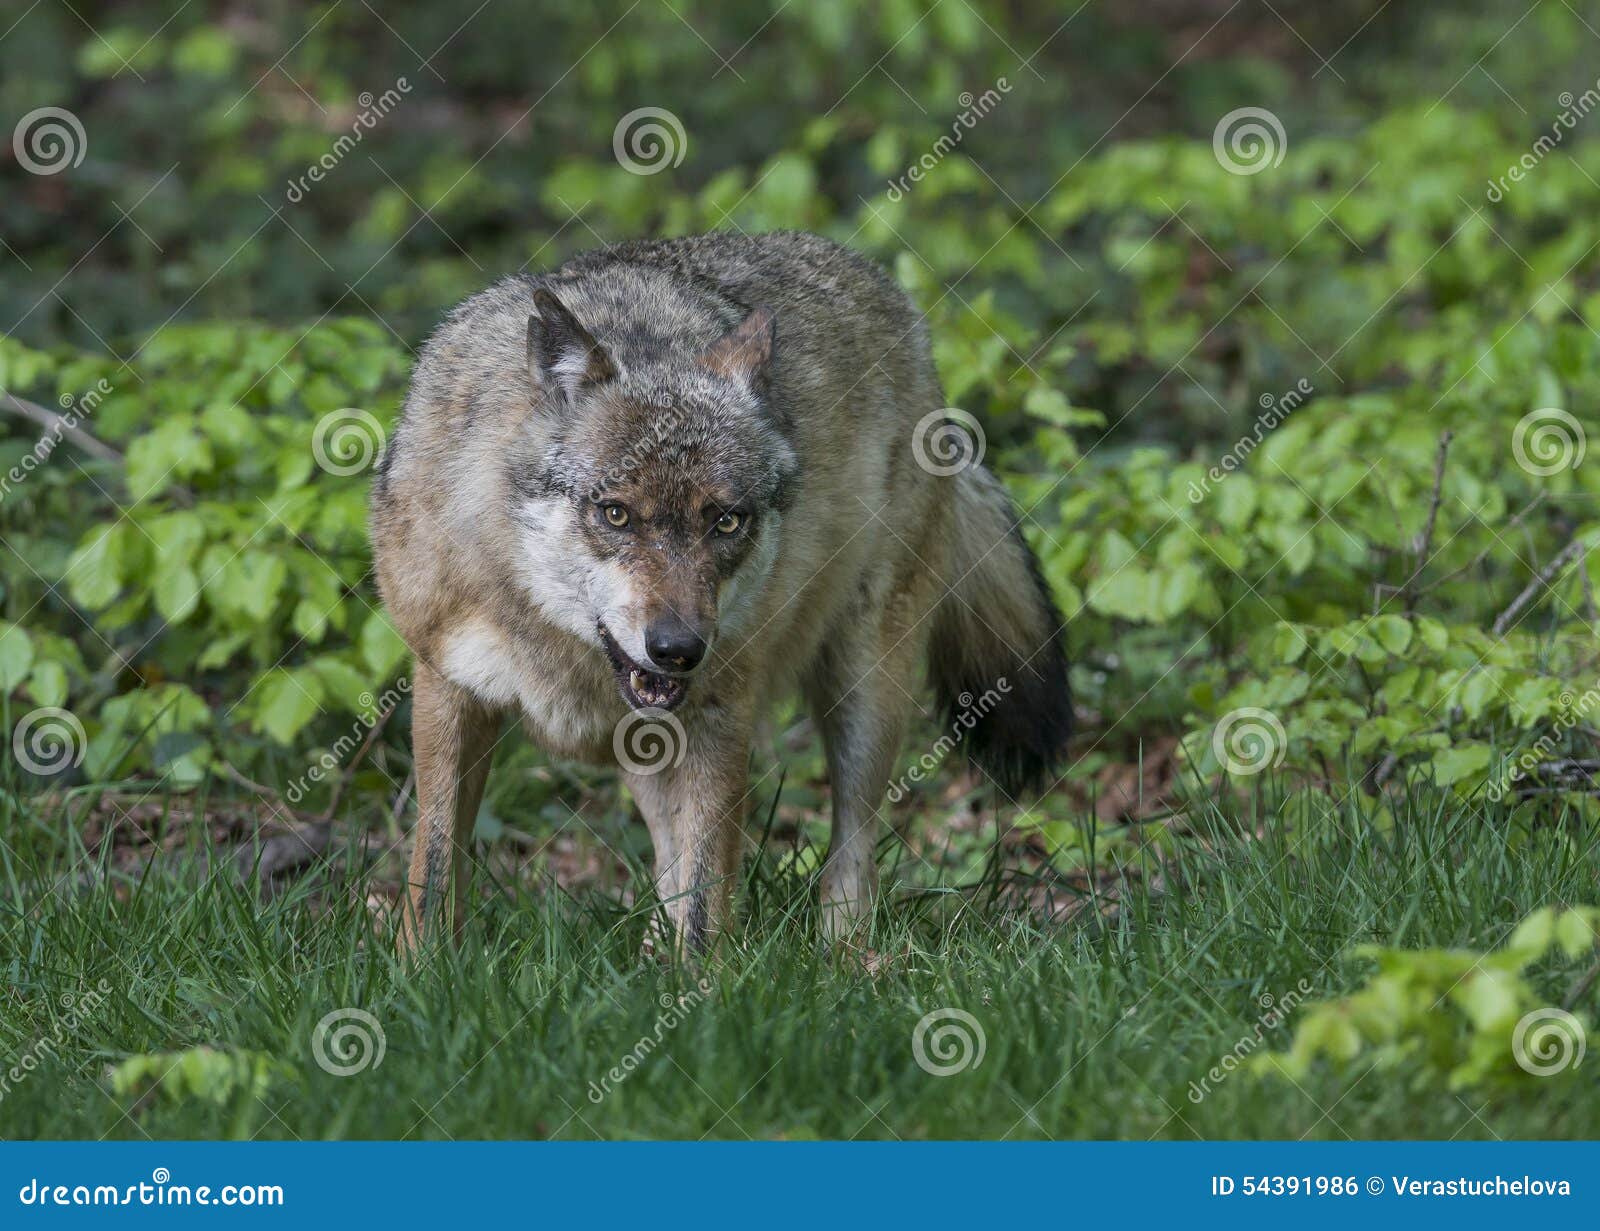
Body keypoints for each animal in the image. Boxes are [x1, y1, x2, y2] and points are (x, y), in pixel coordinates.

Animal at [369, 230, 1071, 954]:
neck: (557, 645)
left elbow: (707, 898)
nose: (679, 648)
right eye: (616, 514)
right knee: (666, 860)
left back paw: (843, 957)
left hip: (865, 690)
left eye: (726, 522)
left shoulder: (720, 713)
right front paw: (423, 966)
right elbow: (434, 865)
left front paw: (699, 983)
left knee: (851, 848)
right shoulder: (448, 686)